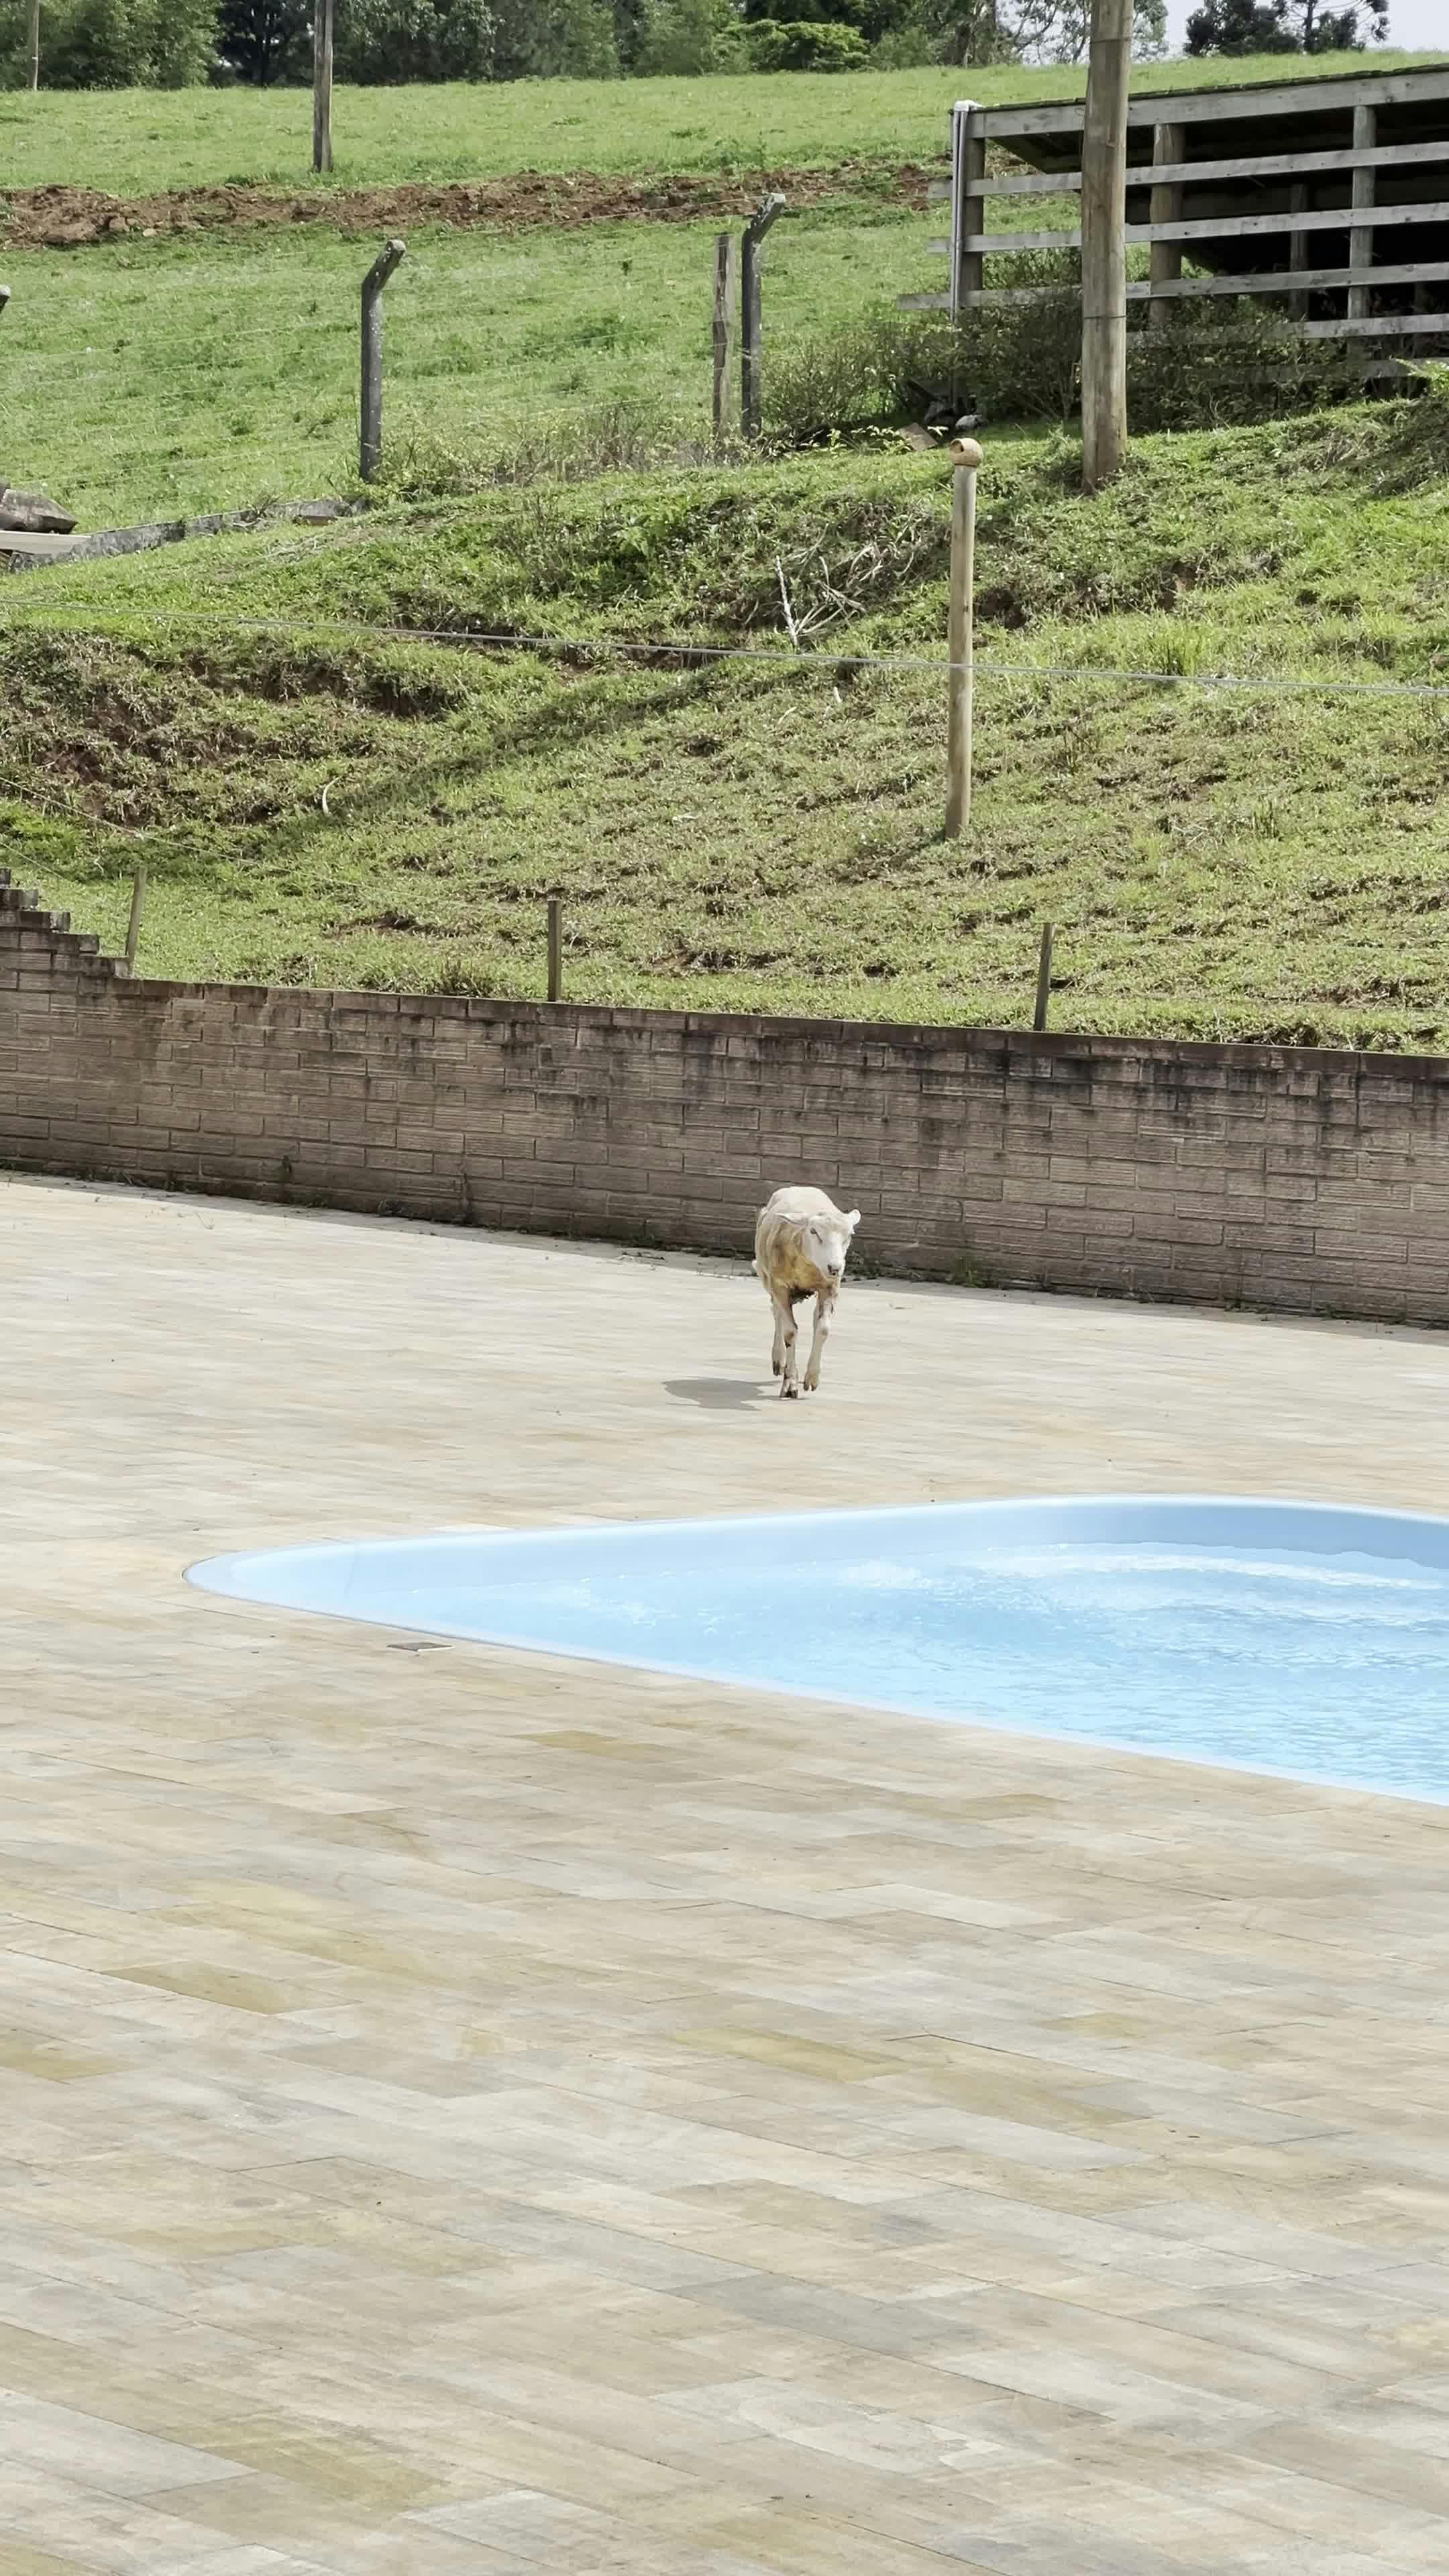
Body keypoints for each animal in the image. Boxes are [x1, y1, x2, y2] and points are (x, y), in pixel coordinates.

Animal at [753, 1186, 861, 1400]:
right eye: (813, 1231)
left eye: (849, 1235)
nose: (835, 1268)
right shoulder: (780, 1286)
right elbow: (790, 1332)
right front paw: (790, 1384)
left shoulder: (830, 1287)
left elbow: (823, 1329)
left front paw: (812, 1378)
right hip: (767, 1277)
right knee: (776, 1313)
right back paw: (779, 1361)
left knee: (811, 1318)